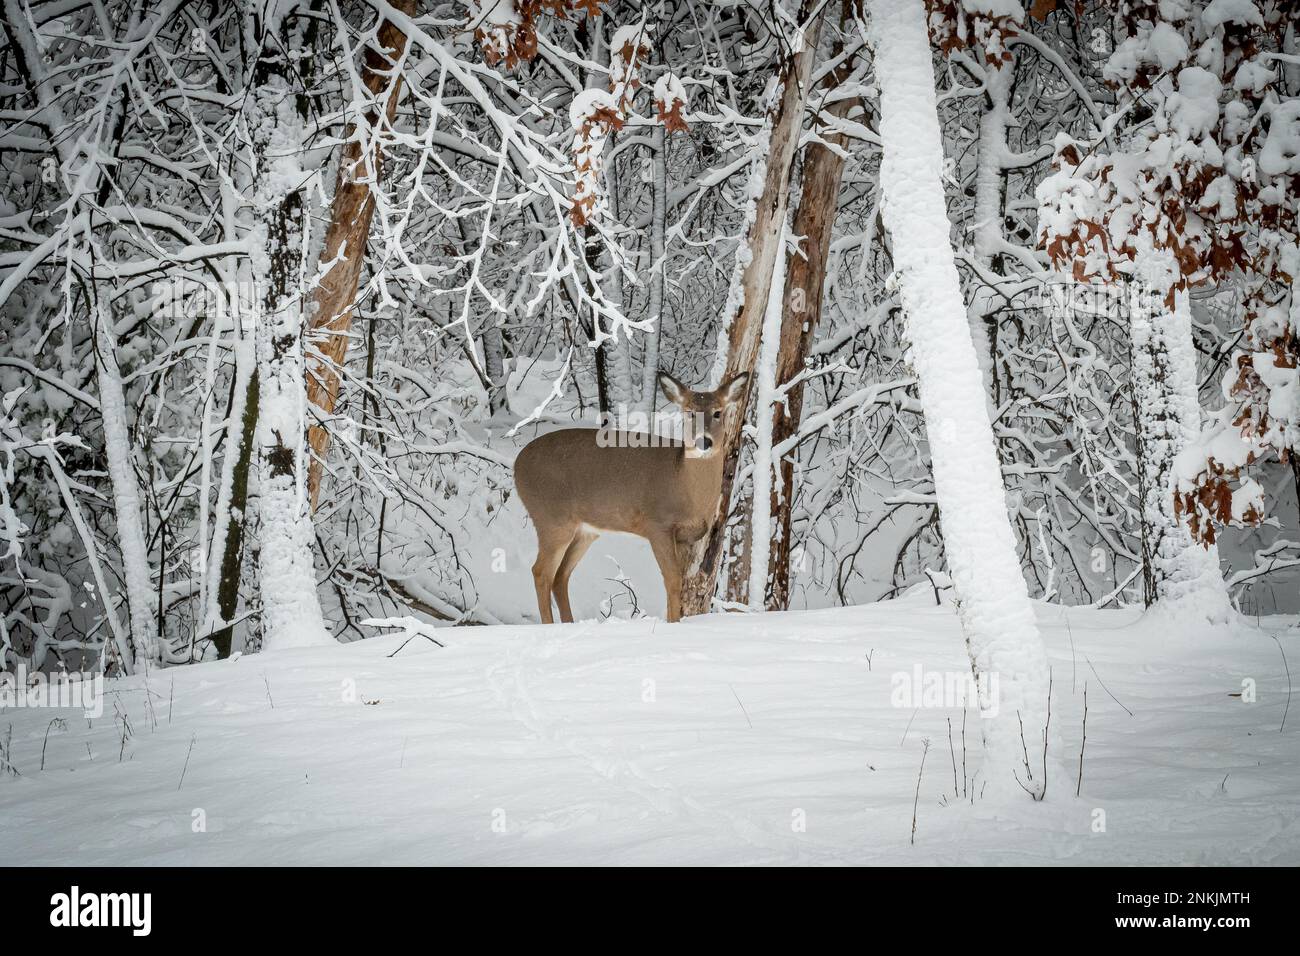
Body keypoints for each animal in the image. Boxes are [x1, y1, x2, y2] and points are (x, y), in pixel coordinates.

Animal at [513, 371, 749, 624]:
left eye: (718, 412)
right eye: (688, 412)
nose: (703, 441)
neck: (685, 486)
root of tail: (517, 465)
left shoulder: (686, 538)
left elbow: (682, 582)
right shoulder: (657, 524)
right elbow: (672, 580)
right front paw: (673, 623)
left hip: (584, 531)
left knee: (560, 576)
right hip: (551, 518)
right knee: (541, 572)